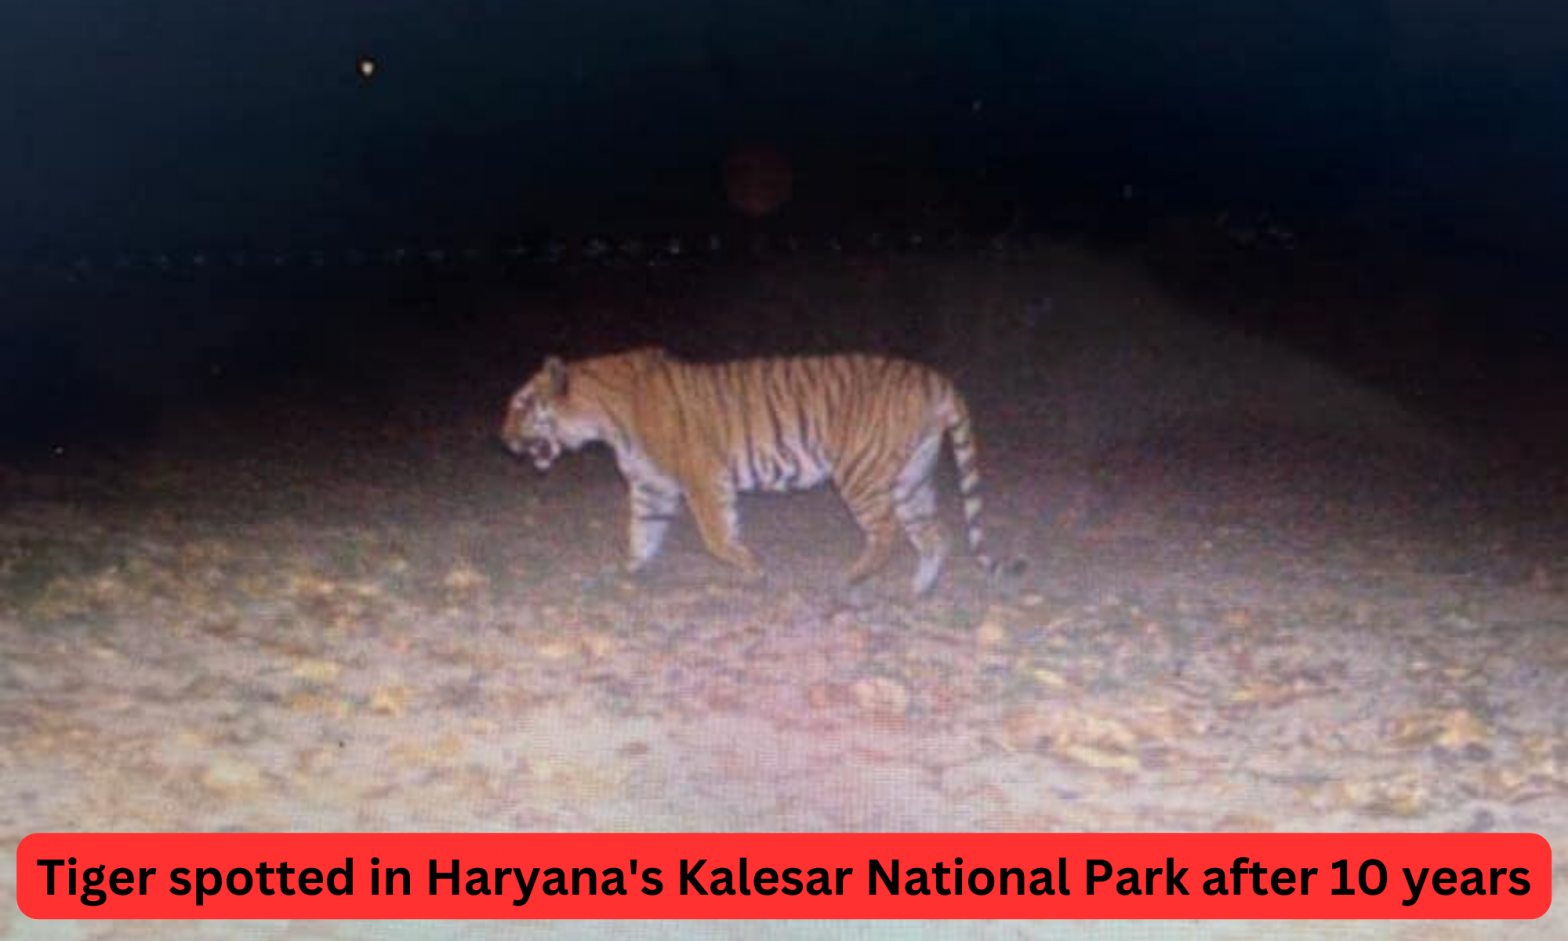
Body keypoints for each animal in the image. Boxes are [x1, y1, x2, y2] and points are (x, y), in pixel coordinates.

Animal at [499, 347, 1016, 595]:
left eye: (522, 404)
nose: (501, 439)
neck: (603, 419)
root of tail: (937, 378)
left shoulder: (701, 477)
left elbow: (716, 535)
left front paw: (752, 569)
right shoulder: (651, 487)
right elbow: (641, 533)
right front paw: (624, 570)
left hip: (861, 471)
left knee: (887, 531)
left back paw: (851, 579)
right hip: (913, 476)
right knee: (935, 534)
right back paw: (918, 589)